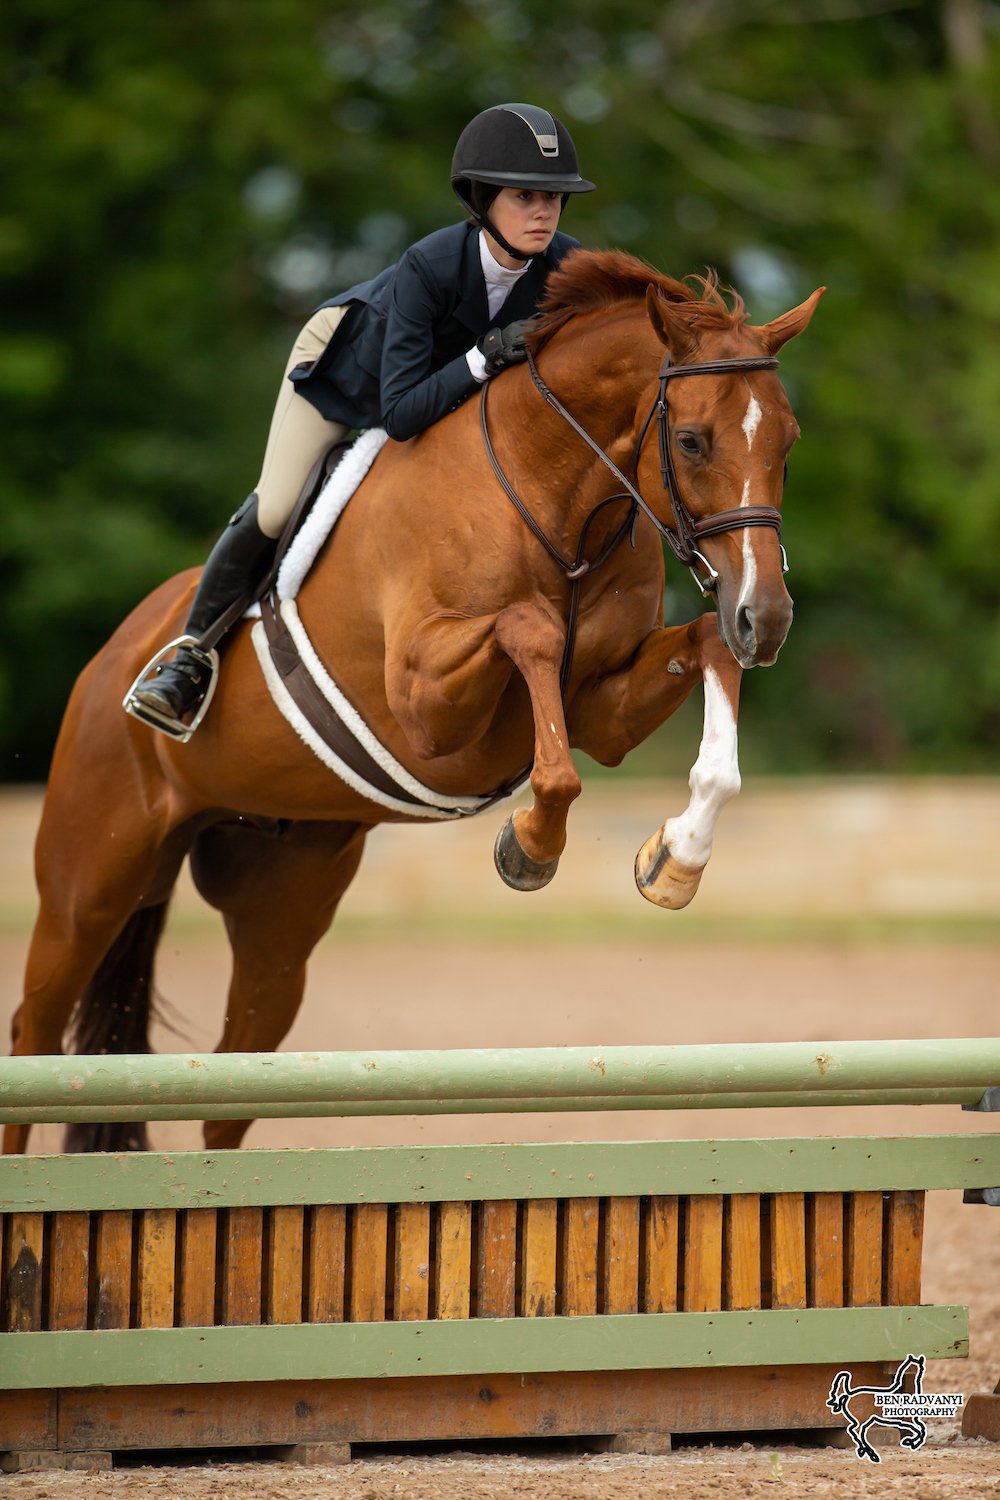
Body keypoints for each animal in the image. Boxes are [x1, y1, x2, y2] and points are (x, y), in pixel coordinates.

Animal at [5, 250, 822, 1155]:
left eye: (788, 442)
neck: (559, 492)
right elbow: (533, 631)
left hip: (279, 903)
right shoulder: (428, 701)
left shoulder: (603, 711)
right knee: (35, 1035)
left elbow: (698, 652)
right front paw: (530, 845)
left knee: (228, 1088)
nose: (766, 617)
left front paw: (675, 858)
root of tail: (112, 657)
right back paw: (172, 683)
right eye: (690, 439)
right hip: (89, 881)